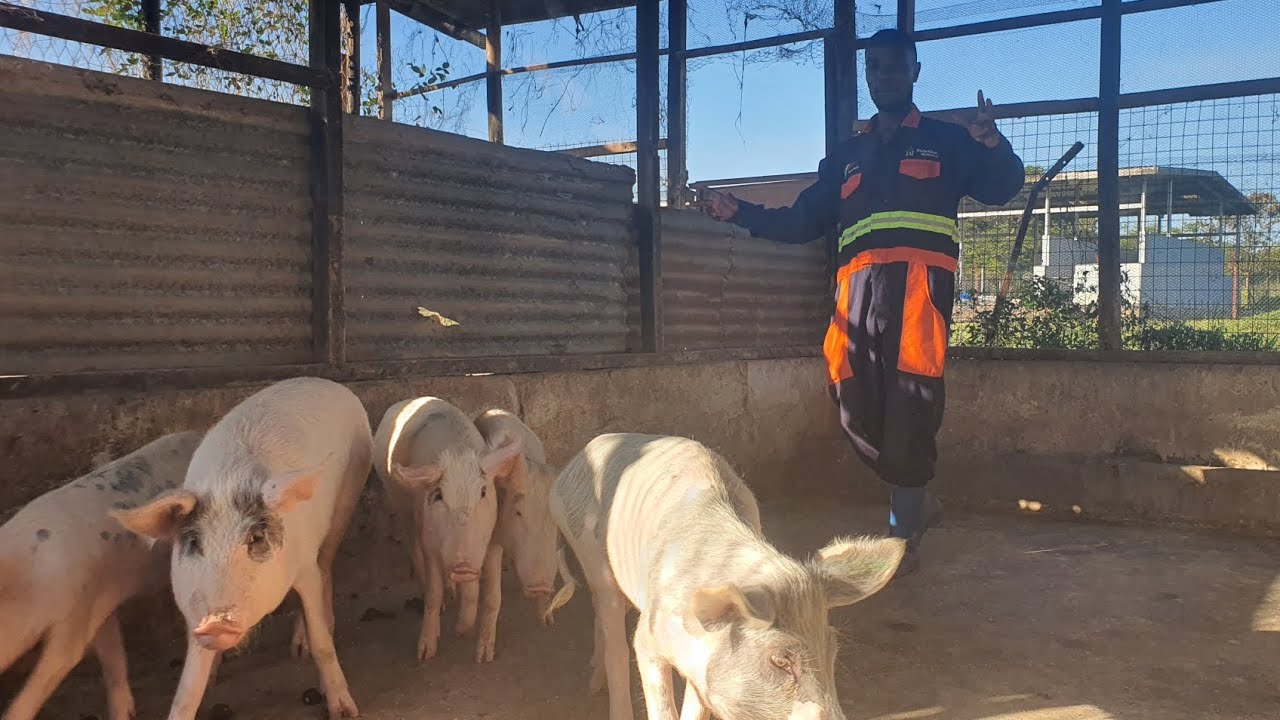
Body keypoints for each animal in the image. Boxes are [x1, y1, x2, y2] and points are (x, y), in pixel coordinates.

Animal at [114, 377, 373, 720]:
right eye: (194, 543)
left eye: (256, 538)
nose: (215, 623)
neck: (228, 483)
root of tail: (325, 381)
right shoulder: (192, 608)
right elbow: (186, 691)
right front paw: (206, 679)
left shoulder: (304, 567)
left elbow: (322, 642)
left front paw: (345, 712)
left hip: (348, 496)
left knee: (327, 566)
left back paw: (301, 647)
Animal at [371, 397, 523, 662]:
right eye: (439, 495)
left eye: (483, 492)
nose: (463, 568)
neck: (458, 453)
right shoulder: (430, 542)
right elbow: (433, 593)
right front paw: (425, 653)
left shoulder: (493, 539)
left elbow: (492, 596)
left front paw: (483, 656)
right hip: (402, 508)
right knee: (413, 547)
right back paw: (445, 600)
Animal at [547, 433, 906, 720]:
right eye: (780, 660)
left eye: (832, 649)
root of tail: (584, 452)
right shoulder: (650, 638)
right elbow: (656, 691)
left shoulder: (702, 667)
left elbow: (696, 709)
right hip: (589, 550)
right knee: (613, 631)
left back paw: (595, 682)